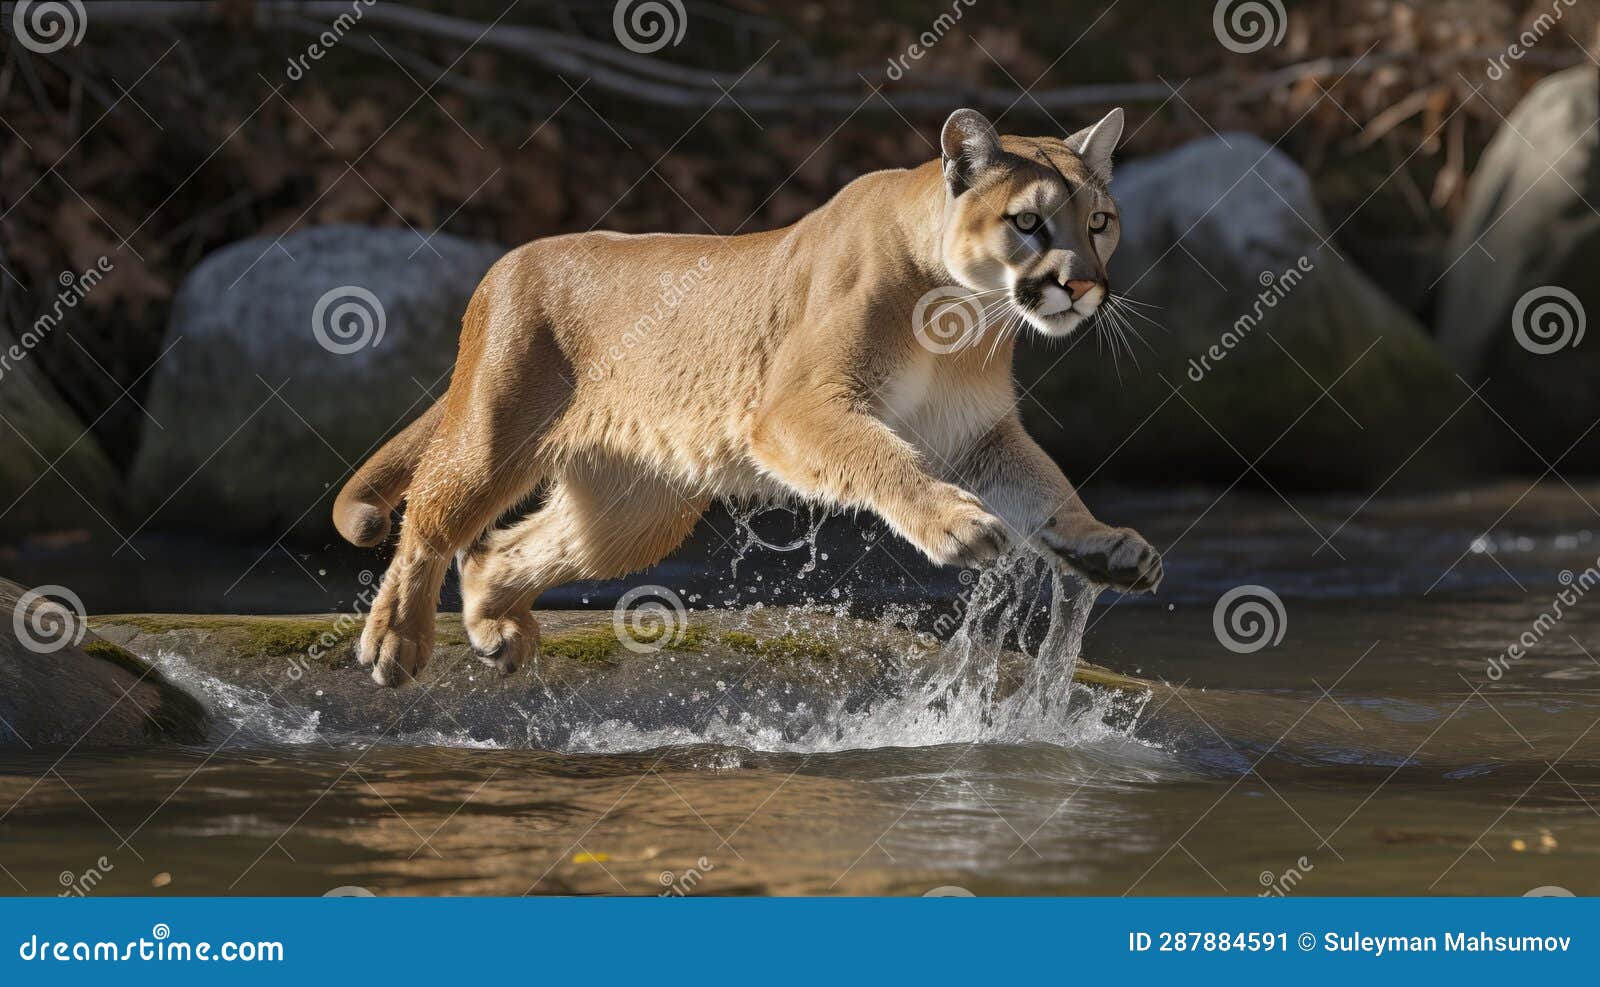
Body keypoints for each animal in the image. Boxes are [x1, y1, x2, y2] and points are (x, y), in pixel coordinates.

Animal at [332, 107, 1162, 686]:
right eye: (1027, 221)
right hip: (491, 431)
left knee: (503, 549)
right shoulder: (797, 408)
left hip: (636, 511)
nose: (1083, 286)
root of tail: (507, 260)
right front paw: (956, 525)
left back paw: (496, 627)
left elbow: (1047, 485)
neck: (966, 316)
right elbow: (881, 457)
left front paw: (1105, 543)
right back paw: (395, 642)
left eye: (1099, 221)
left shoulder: (976, 434)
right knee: (429, 523)